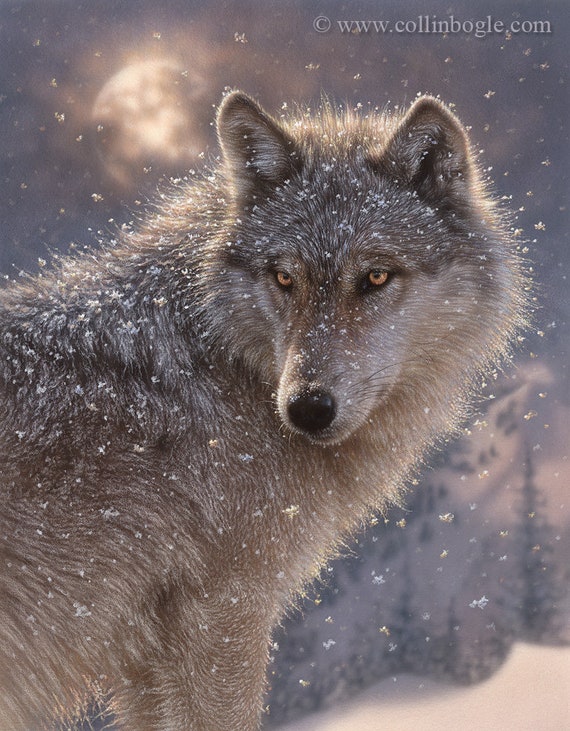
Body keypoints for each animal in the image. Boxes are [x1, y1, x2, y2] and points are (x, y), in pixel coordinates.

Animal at [0, 91, 529, 730]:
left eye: (375, 276)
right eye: (284, 277)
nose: (307, 409)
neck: (224, 358)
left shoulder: (148, 657)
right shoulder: (226, 610)